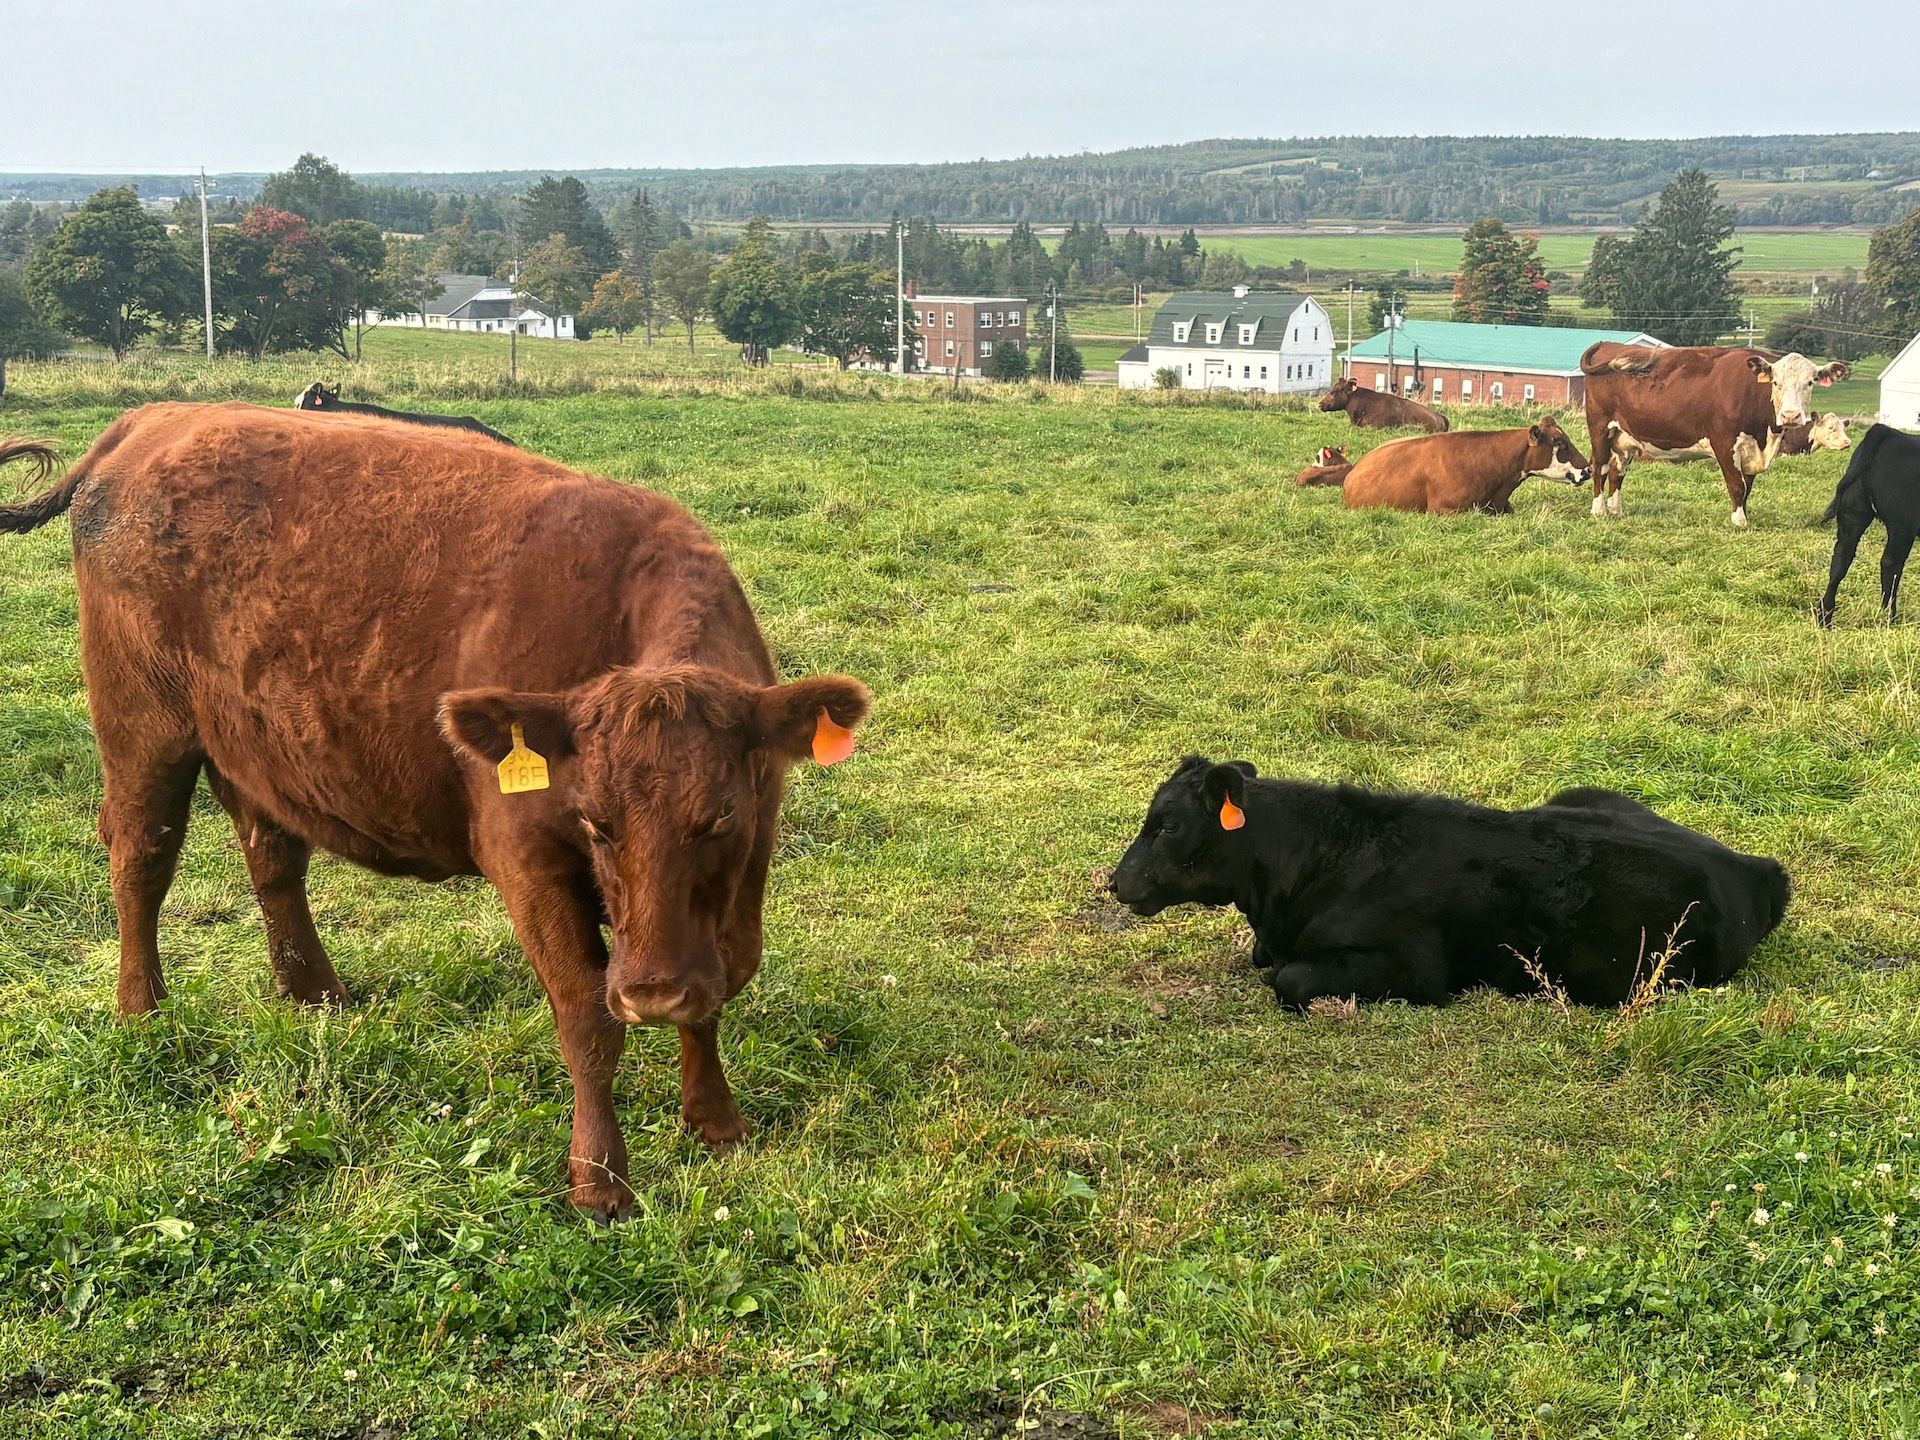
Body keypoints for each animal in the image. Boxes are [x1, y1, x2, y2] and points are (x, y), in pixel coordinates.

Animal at [0, 408, 869, 1222]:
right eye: (595, 822)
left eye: (718, 819)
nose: (653, 993)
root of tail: (156, 417)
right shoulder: (526, 855)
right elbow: (587, 1017)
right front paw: (599, 1178)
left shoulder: (747, 867)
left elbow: (723, 982)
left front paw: (715, 1120)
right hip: (143, 727)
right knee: (141, 857)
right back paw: (142, 1011)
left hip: (256, 745)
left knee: (271, 858)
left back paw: (314, 992)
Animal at [1580, 344, 1849, 527]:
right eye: (1776, 382)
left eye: (1811, 382)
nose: (1791, 415)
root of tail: (1608, 344)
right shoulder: (1724, 442)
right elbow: (1737, 485)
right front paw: (1739, 522)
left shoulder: (1751, 450)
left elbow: (1747, 487)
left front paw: (1743, 515)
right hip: (1600, 428)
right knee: (1600, 468)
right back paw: (1599, 510)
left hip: (1623, 438)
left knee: (1616, 472)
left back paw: (1616, 510)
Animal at [1816, 424, 1920, 628]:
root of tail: (1889, 433)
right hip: (1902, 526)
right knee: (1890, 564)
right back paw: (1890, 618)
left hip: (1853, 516)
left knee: (1841, 560)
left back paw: (1825, 618)